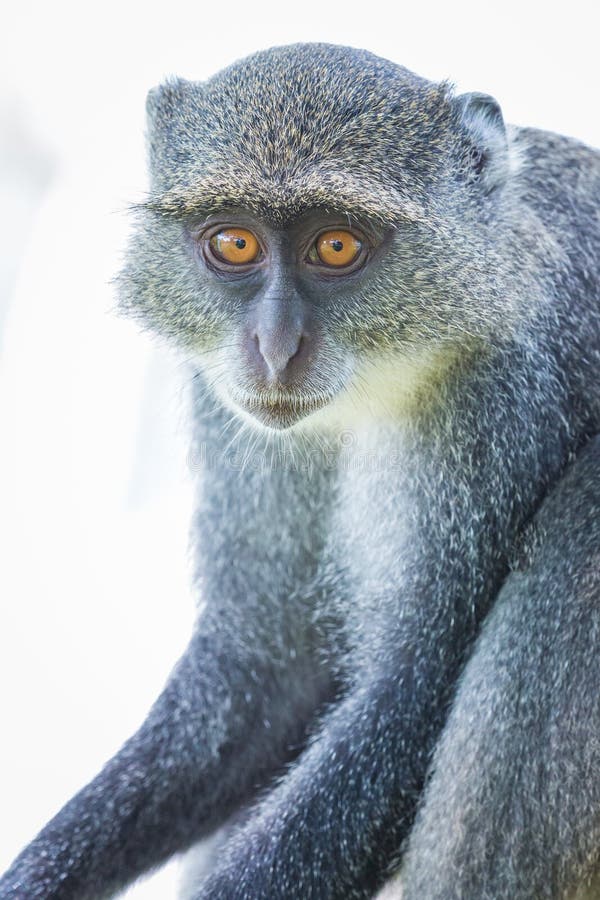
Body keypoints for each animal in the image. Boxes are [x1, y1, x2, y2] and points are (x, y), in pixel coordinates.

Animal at [1, 40, 600, 900]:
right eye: (235, 244)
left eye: (337, 246)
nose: (275, 348)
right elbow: (265, 674)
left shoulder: (512, 390)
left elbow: (408, 690)